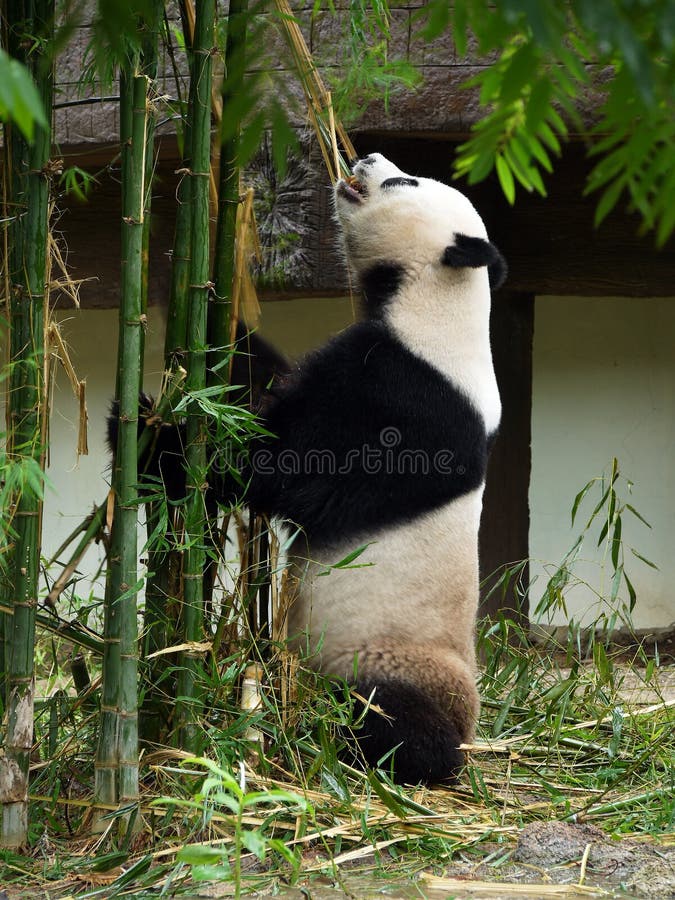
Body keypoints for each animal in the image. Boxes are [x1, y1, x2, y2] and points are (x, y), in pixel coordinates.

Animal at [234, 152, 506, 784]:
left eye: (406, 181)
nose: (365, 158)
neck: (437, 303)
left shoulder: (409, 395)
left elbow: (297, 473)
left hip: (398, 661)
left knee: (393, 720)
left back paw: (333, 734)